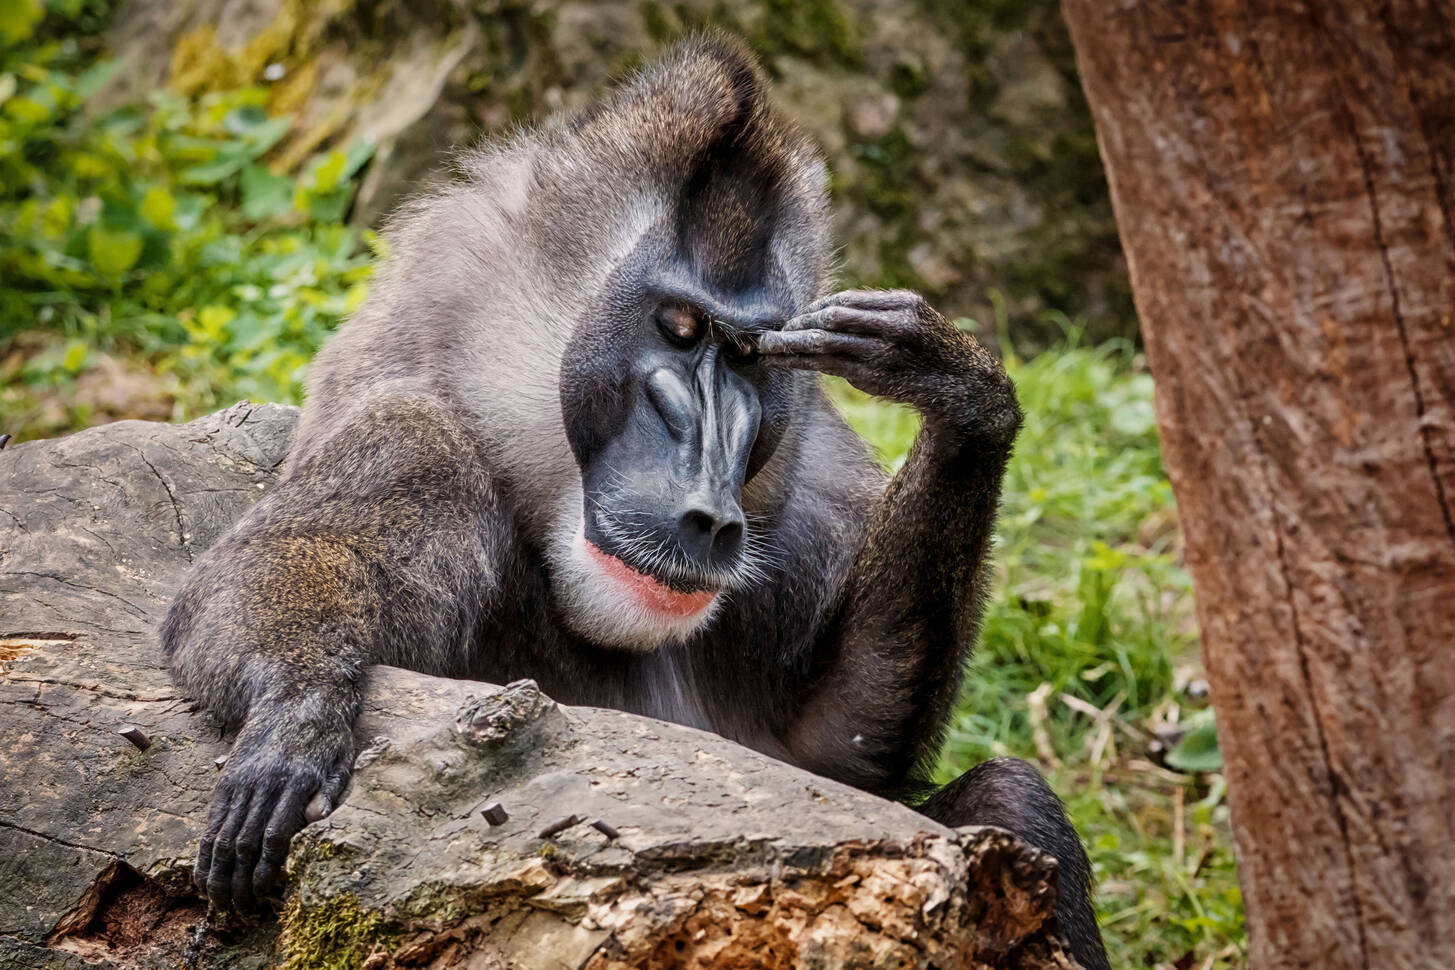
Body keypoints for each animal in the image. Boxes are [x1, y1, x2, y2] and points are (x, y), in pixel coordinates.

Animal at [161, 32, 1109, 970]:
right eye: (677, 331)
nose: (711, 514)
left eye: (747, 354)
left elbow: (841, 749)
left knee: (1010, 792)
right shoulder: (408, 440)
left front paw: (956, 387)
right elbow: (253, 579)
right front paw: (293, 724)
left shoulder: (820, 510)